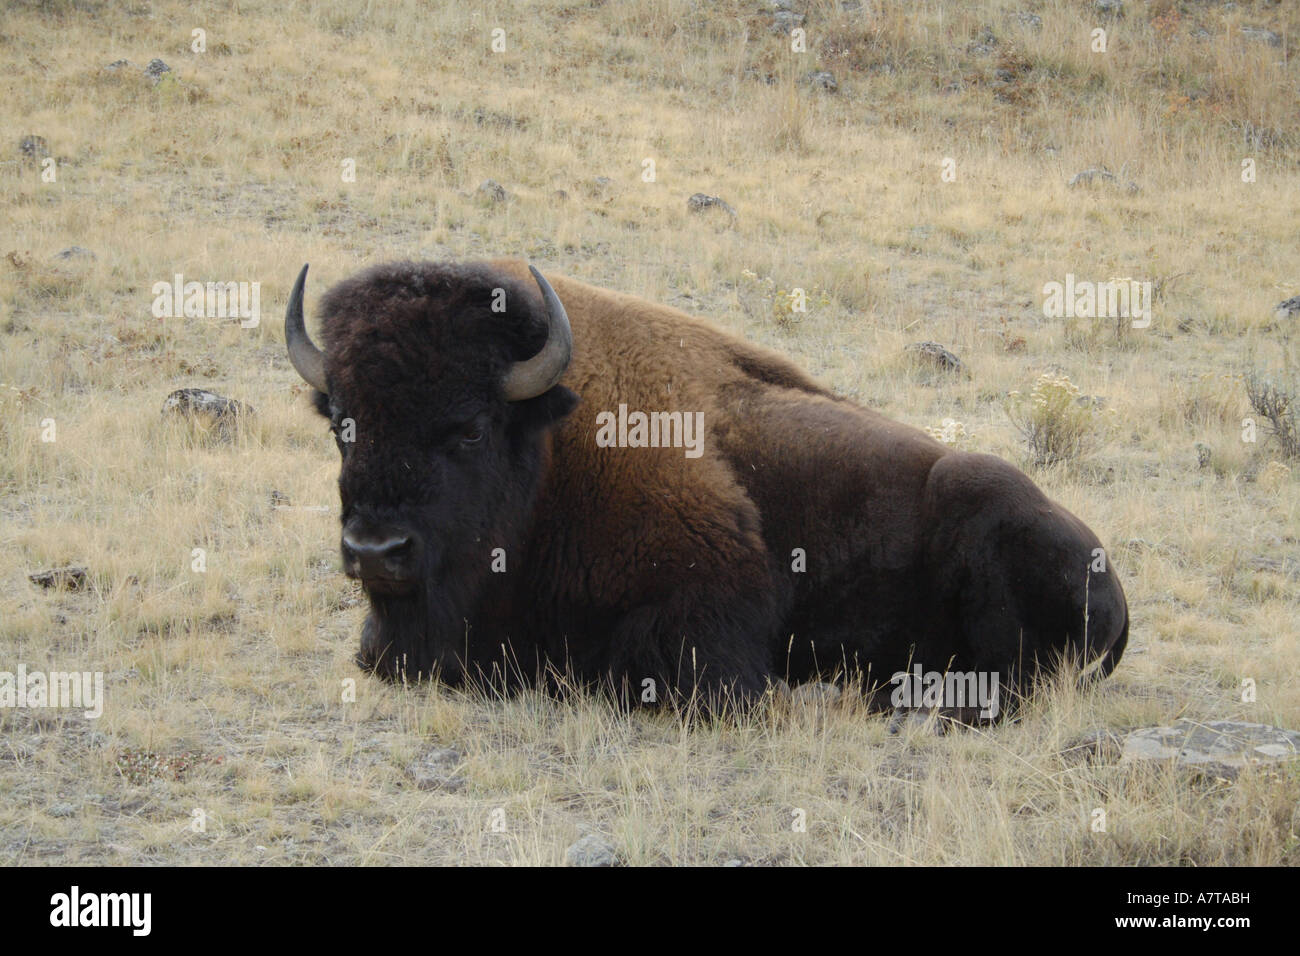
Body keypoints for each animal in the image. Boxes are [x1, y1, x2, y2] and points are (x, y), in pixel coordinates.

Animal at [284, 260, 1127, 716]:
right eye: (342, 420)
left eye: (469, 428)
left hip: (980, 501)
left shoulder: (710, 614)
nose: (375, 550)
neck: (553, 447)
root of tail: (1108, 573)